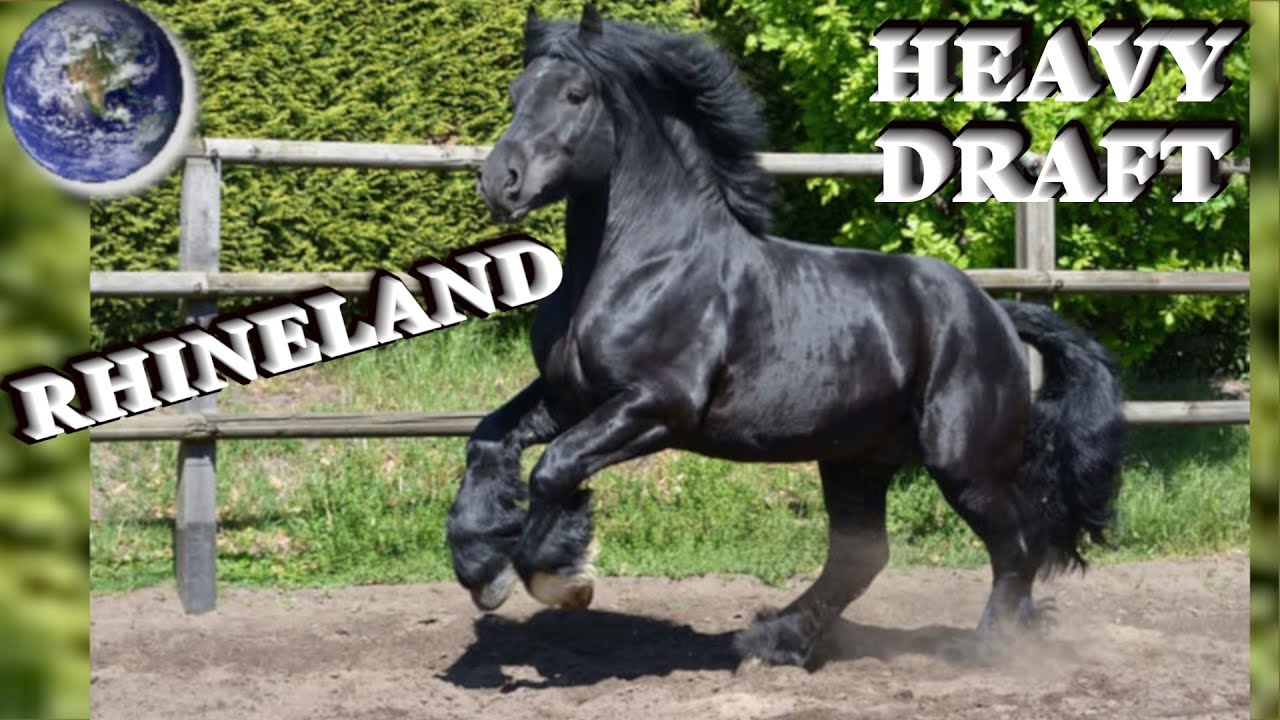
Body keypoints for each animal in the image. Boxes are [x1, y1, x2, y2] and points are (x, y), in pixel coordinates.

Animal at [446, 5, 1126, 667]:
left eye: (575, 94)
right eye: (515, 94)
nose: (500, 182)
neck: (644, 262)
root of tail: (996, 313)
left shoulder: (655, 406)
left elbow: (553, 469)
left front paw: (558, 577)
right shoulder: (573, 396)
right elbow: (489, 441)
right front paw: (482, 566)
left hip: (963, 463)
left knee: (1016, 545)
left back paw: (988, 651)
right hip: (857, 459)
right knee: (865, 556)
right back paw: (775, 642)